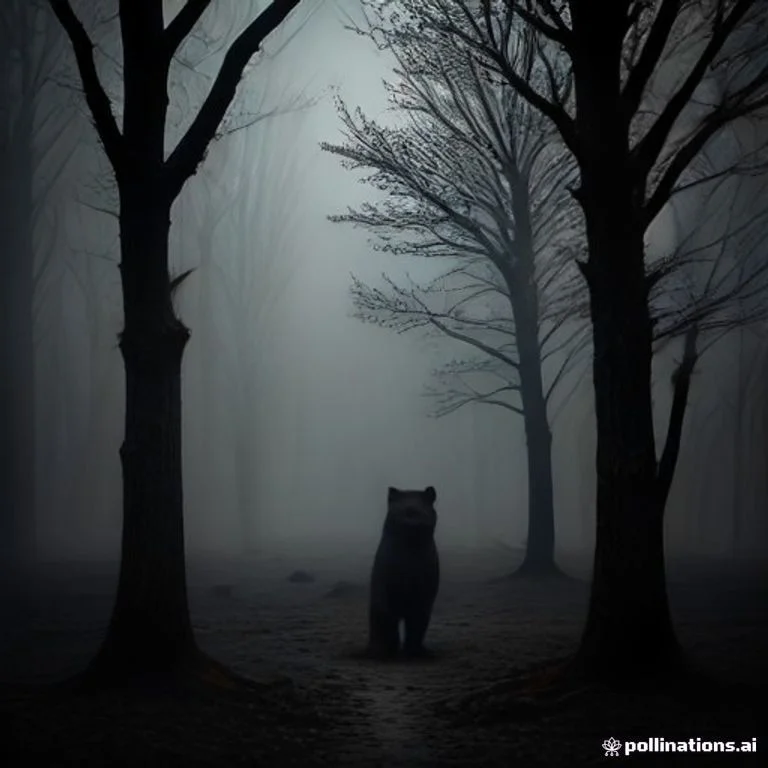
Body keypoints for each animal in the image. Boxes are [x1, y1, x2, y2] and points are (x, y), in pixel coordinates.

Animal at [368, 485, 440, 658]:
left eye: (421, 509)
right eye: (401, 510)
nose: (411, 511)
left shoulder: (424, 596)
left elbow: (417, 627)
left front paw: (415, 653)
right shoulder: (383, 589)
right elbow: (386, 621)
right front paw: (383, 652)